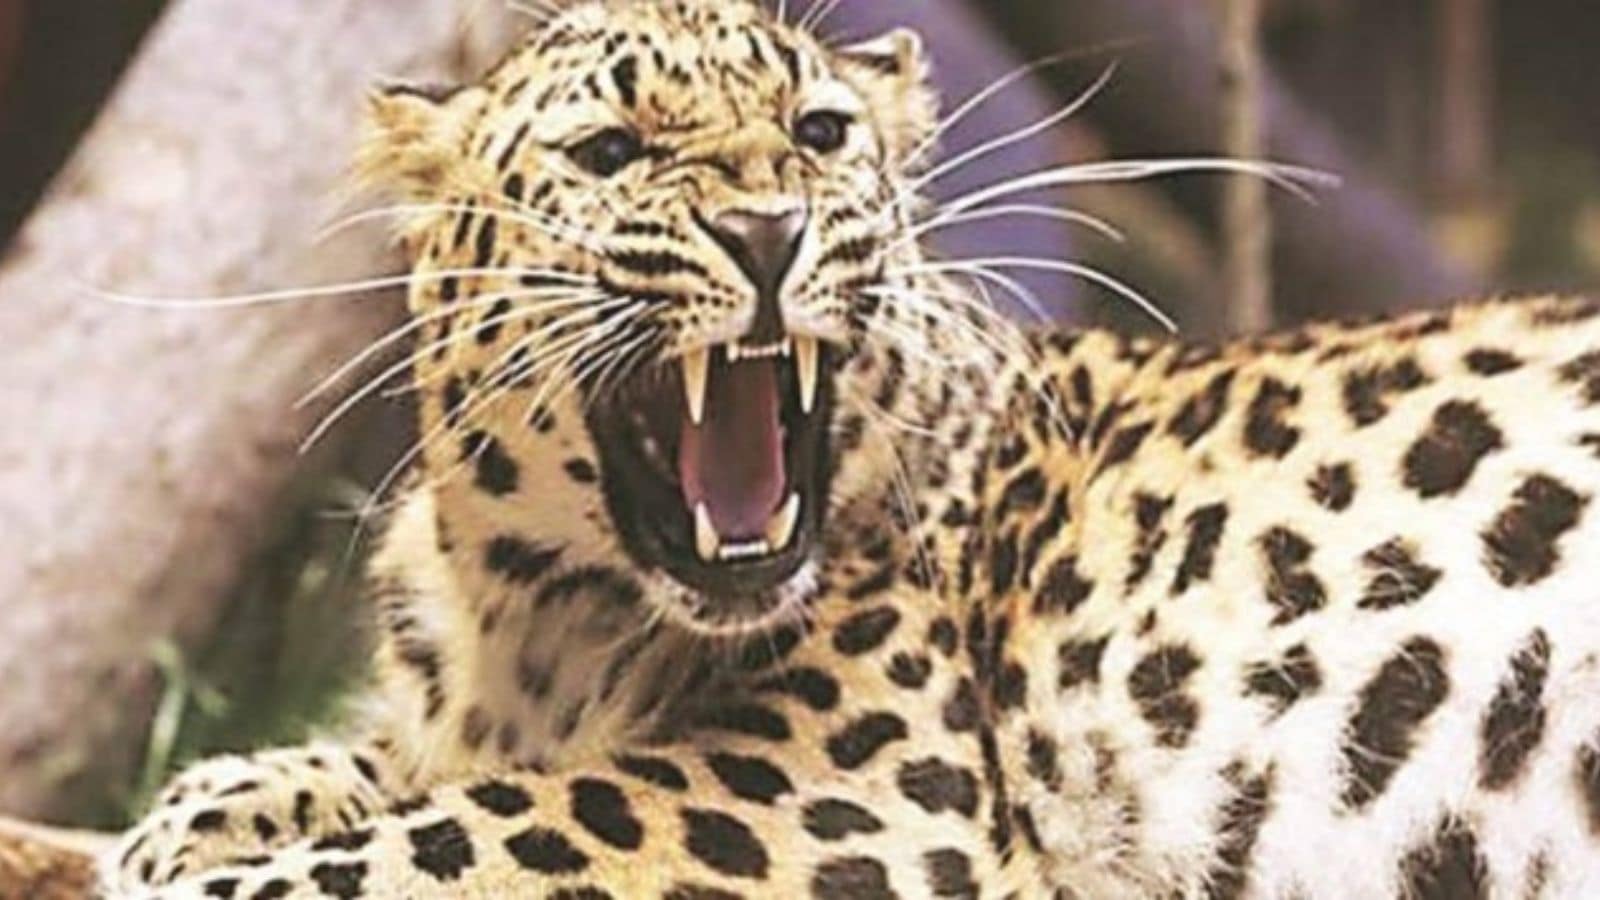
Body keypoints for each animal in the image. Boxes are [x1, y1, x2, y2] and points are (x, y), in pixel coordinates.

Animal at [106, 0, 1600, 898]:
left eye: (818, 133)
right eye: (609, 151)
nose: (767, 230)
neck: (533, 622)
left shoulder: (850, 782)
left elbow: (473, 826)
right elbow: (386, 773)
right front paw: (205, 805)